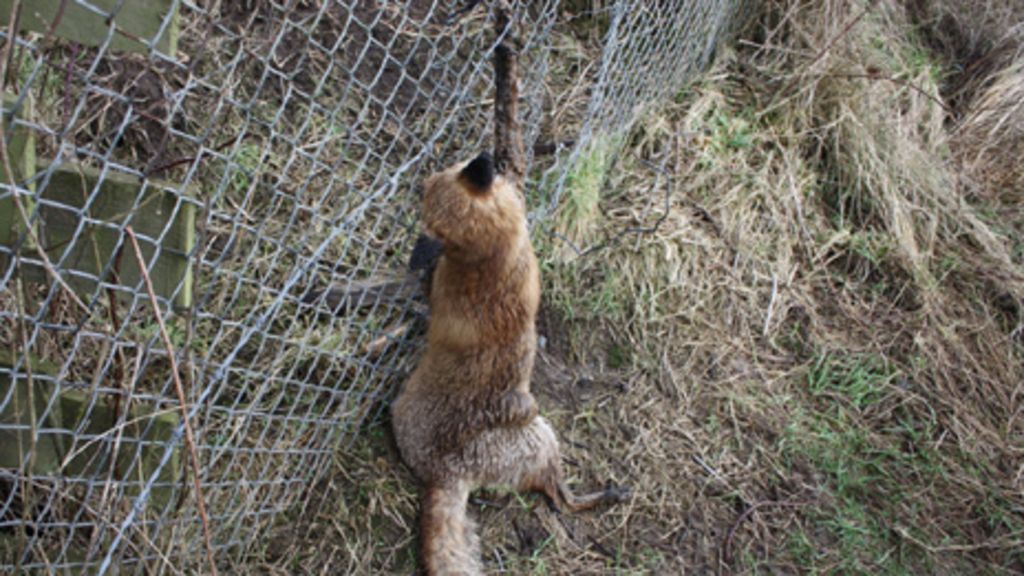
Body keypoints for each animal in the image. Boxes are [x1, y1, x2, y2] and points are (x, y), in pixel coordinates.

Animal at [391, 151, 628, 575]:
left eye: (427, 187)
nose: (484, 159)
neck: (491, 261)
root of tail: (444, 470)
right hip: (543, 438)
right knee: (559, 497)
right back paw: (610, 494)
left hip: (540, 438)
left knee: (560, 498)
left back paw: (609, 494)